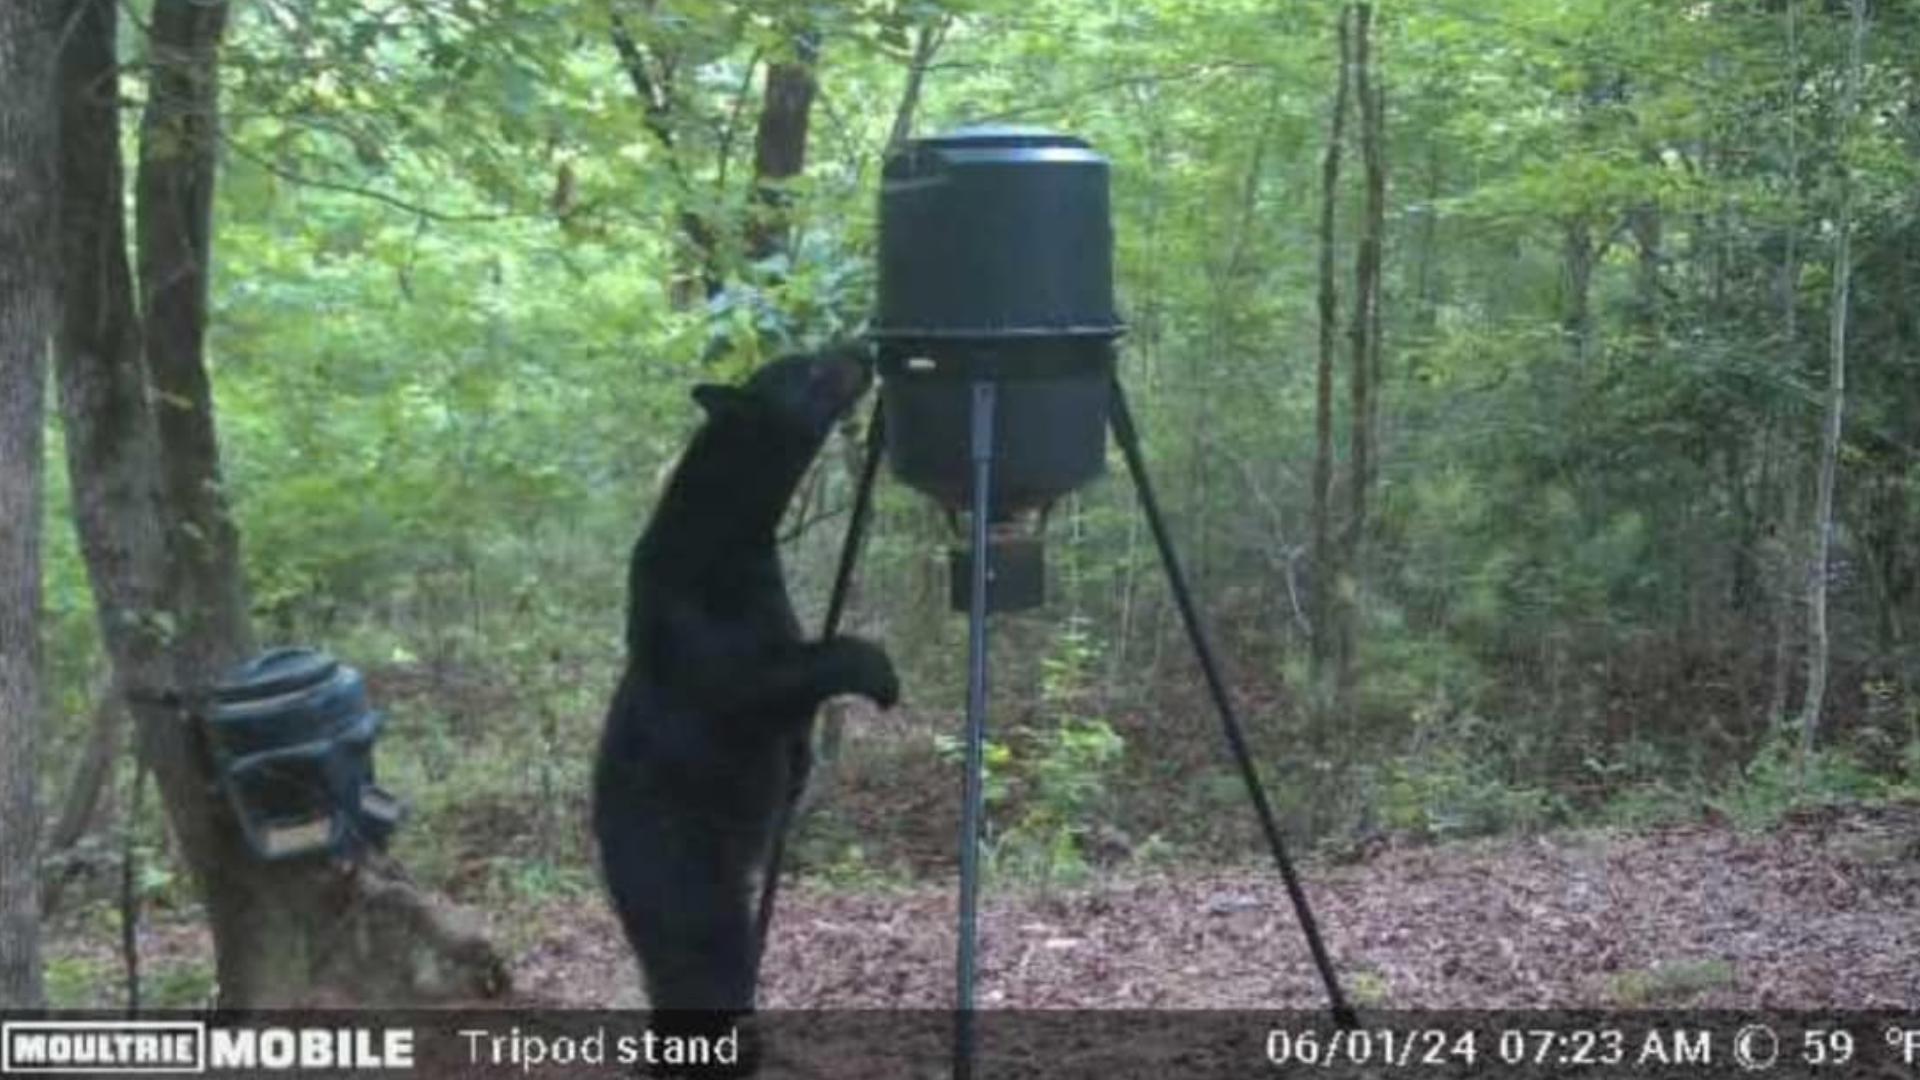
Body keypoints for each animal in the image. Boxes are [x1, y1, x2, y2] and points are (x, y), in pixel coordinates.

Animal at [592, 343, 899, 1038]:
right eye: (809, 368)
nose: (864, 348)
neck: (729, 535)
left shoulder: (766, 591)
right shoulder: (696, 625)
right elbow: (756, 682)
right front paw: (875, 670)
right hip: (676, 867)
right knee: (701, 961)